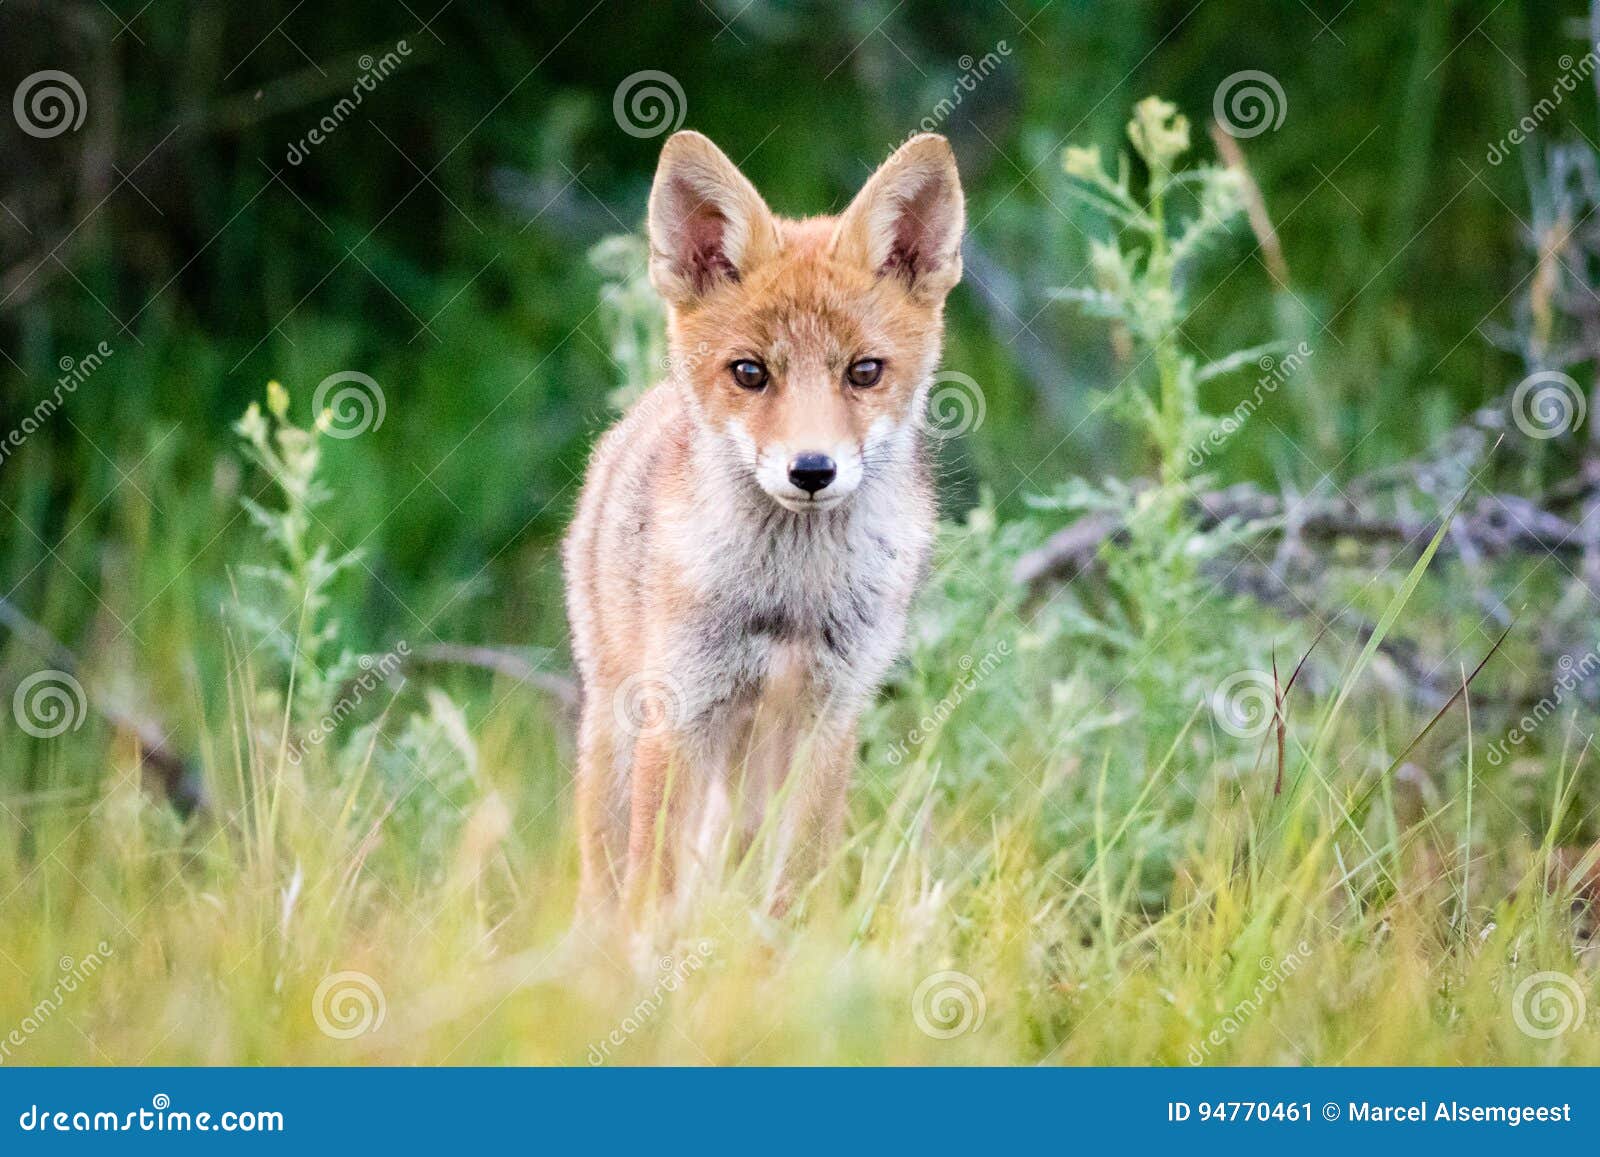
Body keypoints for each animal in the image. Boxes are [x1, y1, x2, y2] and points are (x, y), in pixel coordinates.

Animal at [563, 129, 964, 916]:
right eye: (750, 373)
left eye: (865, 371)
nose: (811, 470)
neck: (789, 597)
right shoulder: (681, 710)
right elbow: (652, 893)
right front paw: (650, 954)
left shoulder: (830, 715)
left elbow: (799, 882)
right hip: (619, 728)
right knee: (608, 877)